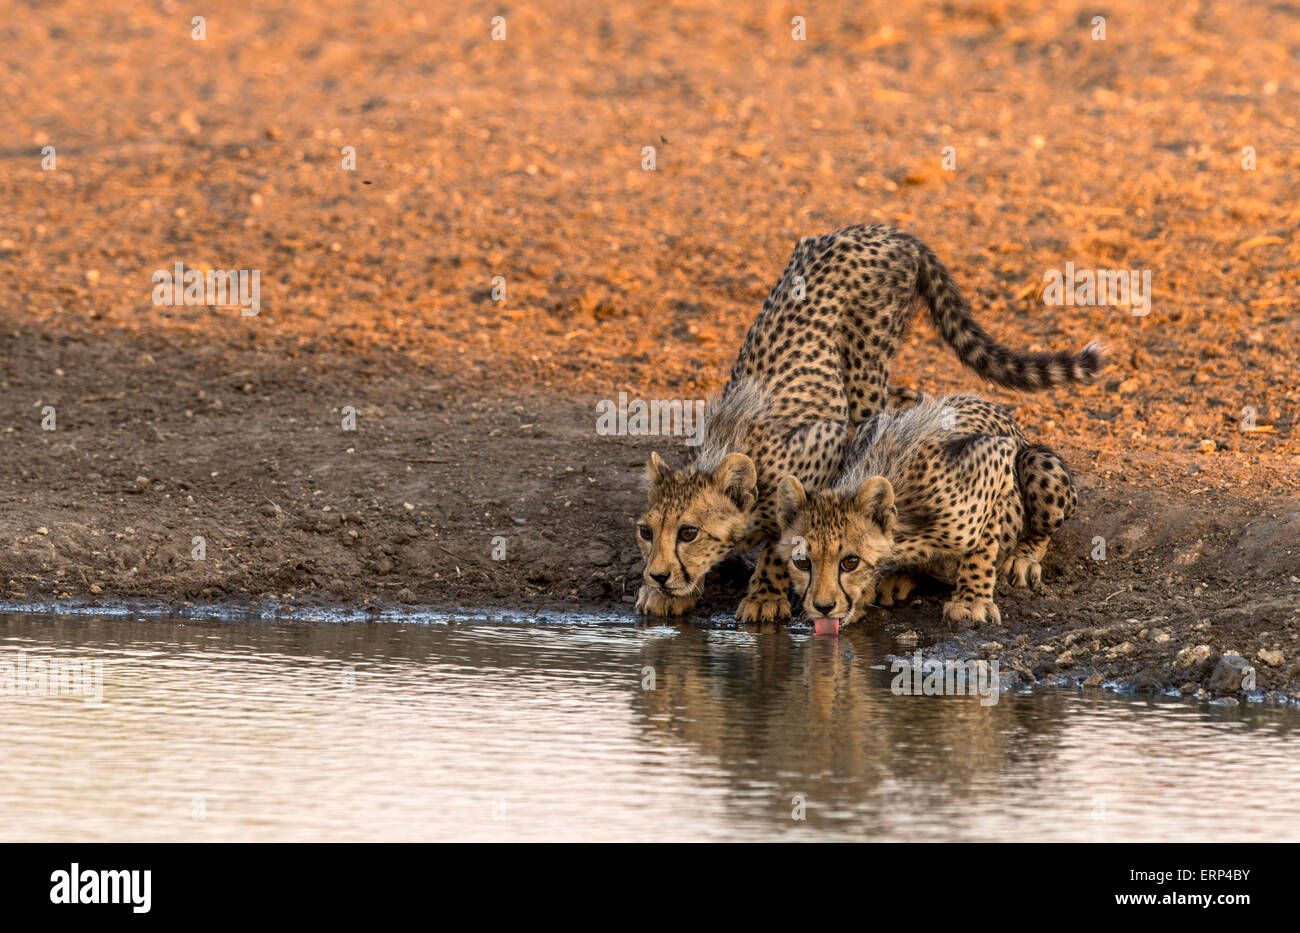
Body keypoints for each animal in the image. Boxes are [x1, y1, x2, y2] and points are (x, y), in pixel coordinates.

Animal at [774, 394, 1078, 630]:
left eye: (850, 562)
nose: (823, 607)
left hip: (1038, 463)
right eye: (802, 562)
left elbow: (981, 547)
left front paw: (971, 602)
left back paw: (1023, 558)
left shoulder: (995, 457)